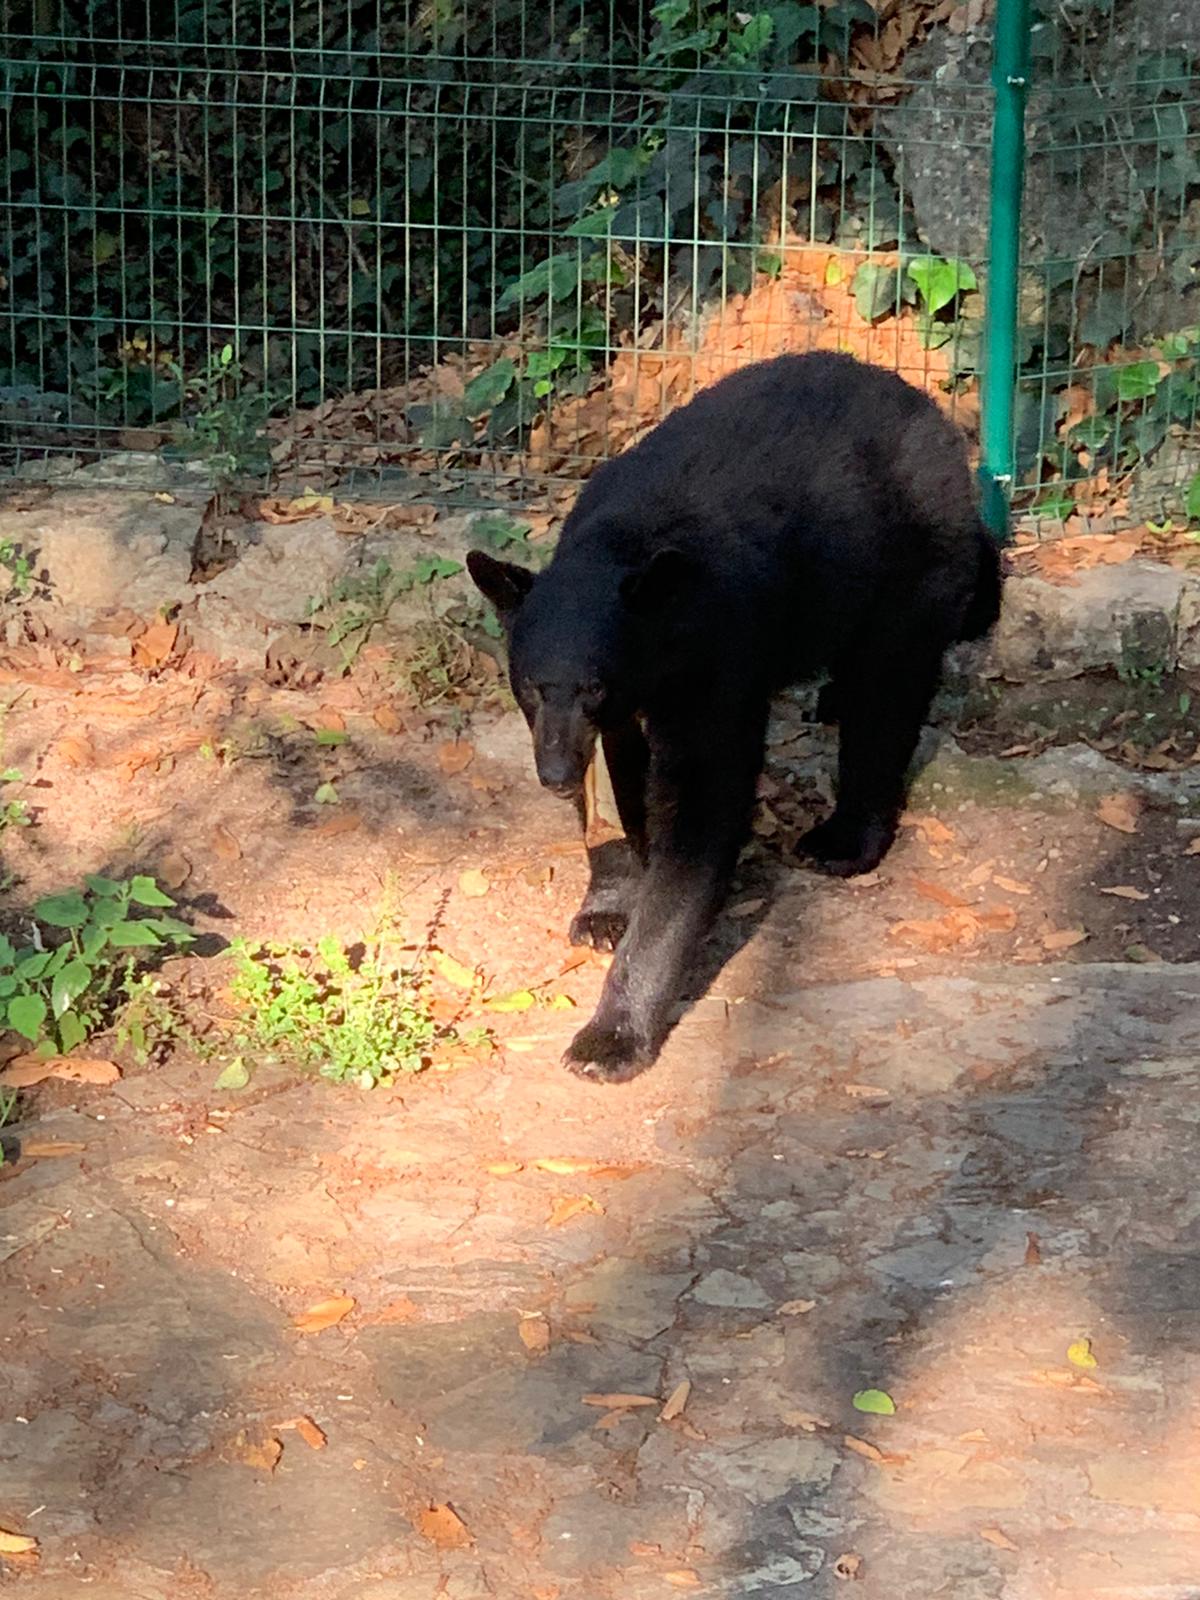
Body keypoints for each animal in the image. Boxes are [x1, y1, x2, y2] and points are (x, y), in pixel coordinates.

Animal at [467, 351, 1002, 1083]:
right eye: (528, 685)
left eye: (594, 686)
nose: (552, 774)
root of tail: (934, 415)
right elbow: (618, 782)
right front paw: (604, 911)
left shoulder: (718, 652)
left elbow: (703, 801)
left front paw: (609, 1038)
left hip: (909, 558)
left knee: (887, 691)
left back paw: (840, 840)